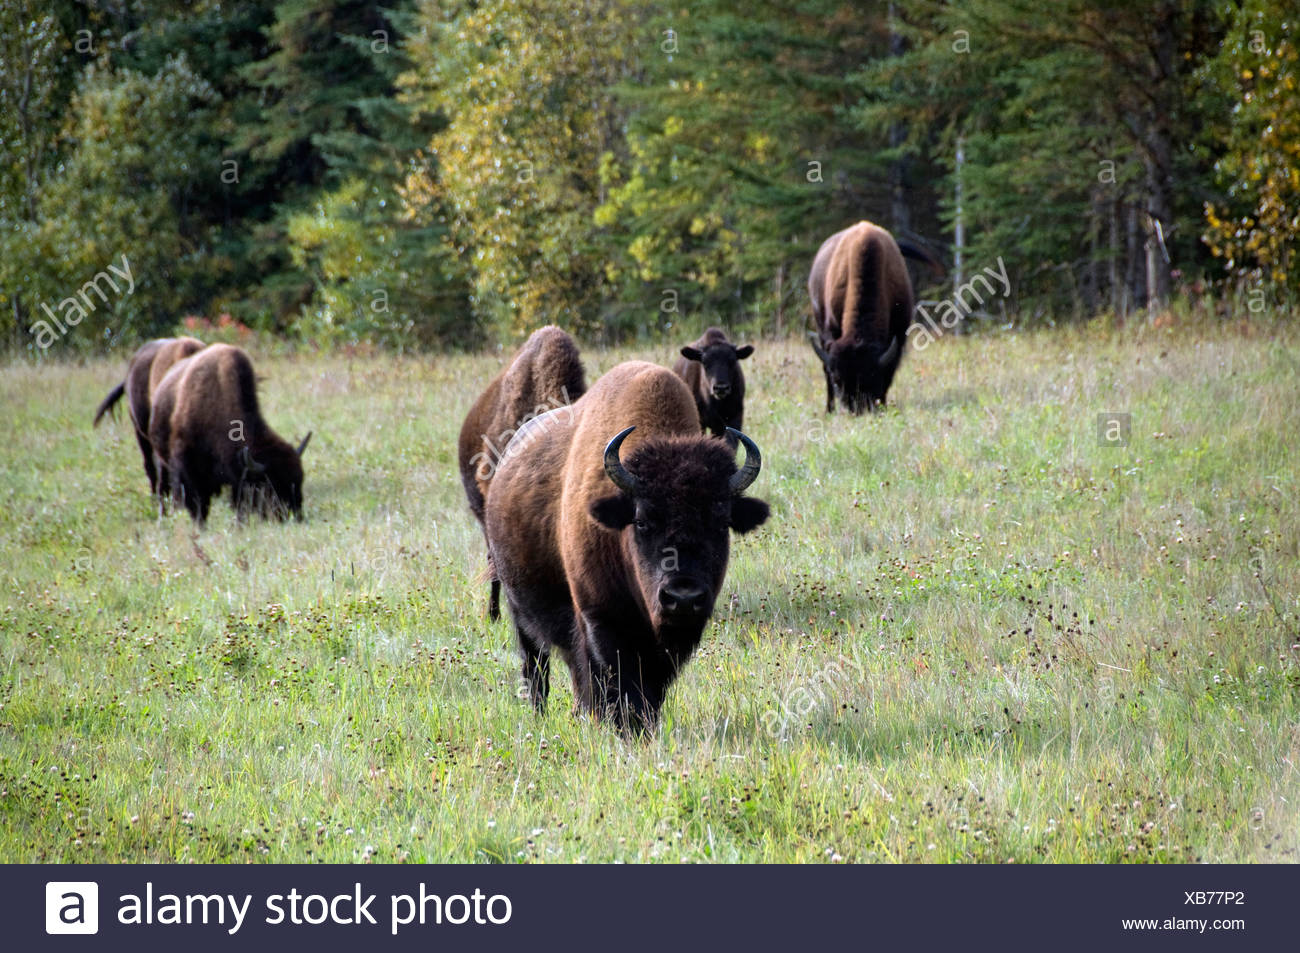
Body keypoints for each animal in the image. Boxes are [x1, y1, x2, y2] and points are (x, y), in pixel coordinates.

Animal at [149, 343, 310, 524]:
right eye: (270, 485)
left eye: (300, 479)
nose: (296, 516)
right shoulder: (189, 470)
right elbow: (198, 505)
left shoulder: (236, 480)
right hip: (163, 462)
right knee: (164, 488)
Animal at [484, 361, 769, 733]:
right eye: (642, 520)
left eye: (722, 523)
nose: (683, 597)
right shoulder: (599, 617)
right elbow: (613, 677)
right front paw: (622, 727)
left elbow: (650, 685)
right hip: (519, 608)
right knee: (536, 666)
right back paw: (543, 714)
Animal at [808, 220, 938, 413]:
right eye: (838, 381)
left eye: (871, 378)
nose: (856, 409)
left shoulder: (899, 334)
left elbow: (890, 371)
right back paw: (829, 409)